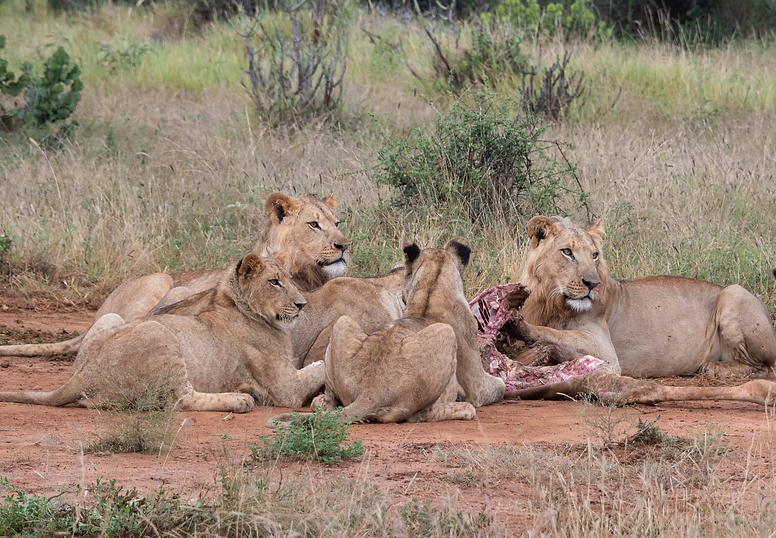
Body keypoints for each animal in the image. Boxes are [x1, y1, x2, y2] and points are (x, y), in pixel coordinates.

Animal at [0, 253, 324, 412]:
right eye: (274, 282)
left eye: (290, 279)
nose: (302, 304)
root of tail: (82, 376)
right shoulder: (284, 388)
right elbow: (314, 371)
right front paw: (320, 364)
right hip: (159, 332)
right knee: (181, 399)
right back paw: (239, 400)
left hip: (112, 319)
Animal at [270, 239, 506, 425]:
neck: (433, 287)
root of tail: (370, 392)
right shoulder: (476, 386)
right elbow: (499, 386)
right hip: (446, 334)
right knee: (420, 415)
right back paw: (463, 409)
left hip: (343, 322)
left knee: (328, 403)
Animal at [506, 215, 776, 379]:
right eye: (567, 252)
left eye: (594, 255)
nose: (593, 284)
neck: (550, 301)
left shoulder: (605, 353)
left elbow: (553, 333)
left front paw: (519, 326)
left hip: (734, 292)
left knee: (764, 368)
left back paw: (715, 367)